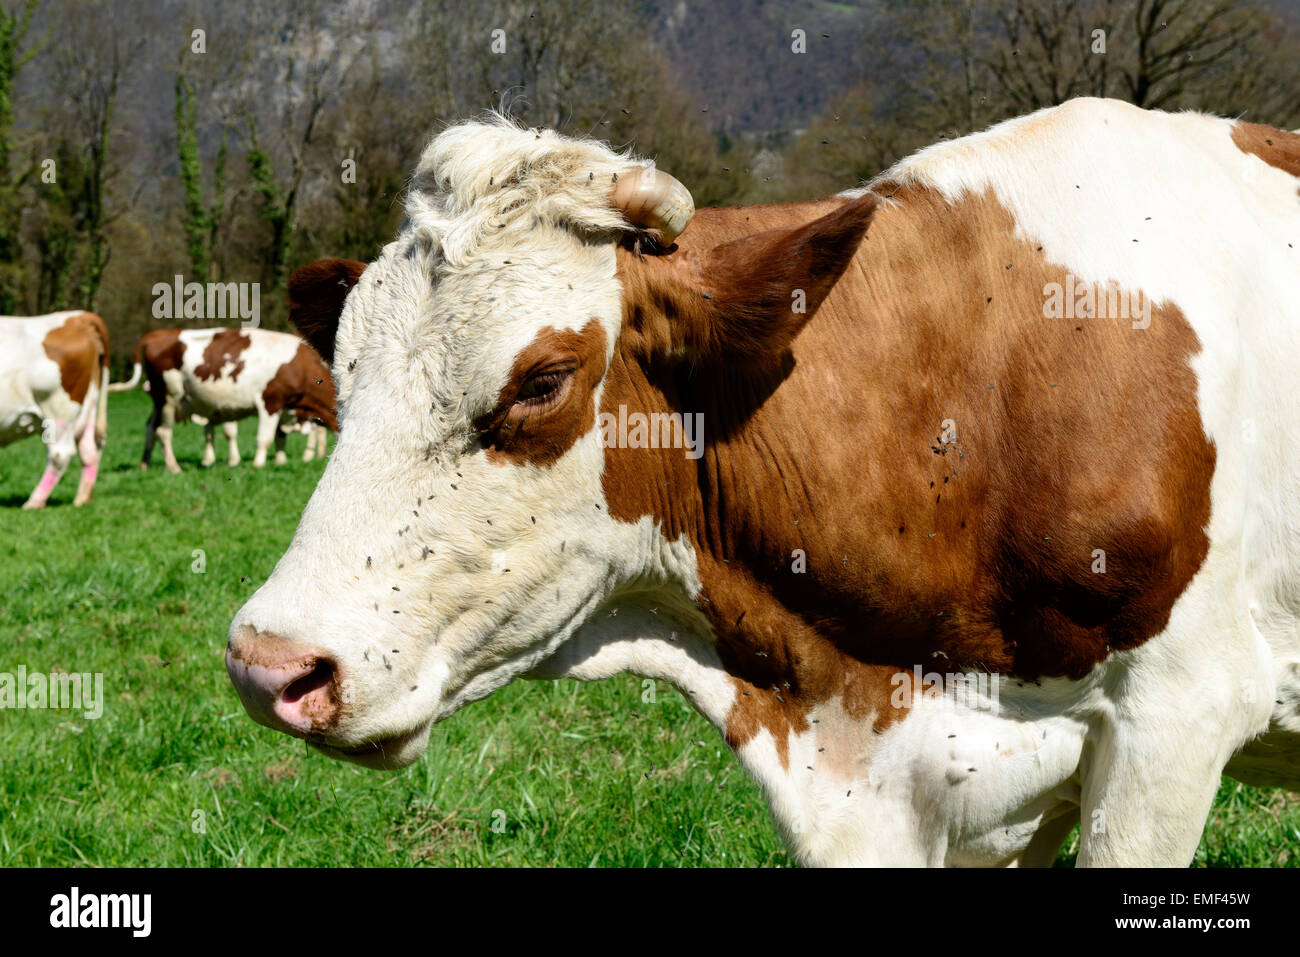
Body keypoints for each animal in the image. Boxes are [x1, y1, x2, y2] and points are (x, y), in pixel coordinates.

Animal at [0, 311, 109, 508]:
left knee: (60, 454)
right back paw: (81, 499)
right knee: (89, 451)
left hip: (59, 410)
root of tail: (77, 317)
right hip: (88, 407)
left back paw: (33, 502)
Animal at [111, 327, 337, 472]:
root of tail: (156, 334)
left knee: (150, 427)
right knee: (163, 431)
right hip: (168, 397)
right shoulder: (270, 402)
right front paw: (258, 464)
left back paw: (144, 463)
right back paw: (173, 467)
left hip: (158, 400)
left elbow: (277, 437)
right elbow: (265, 438)